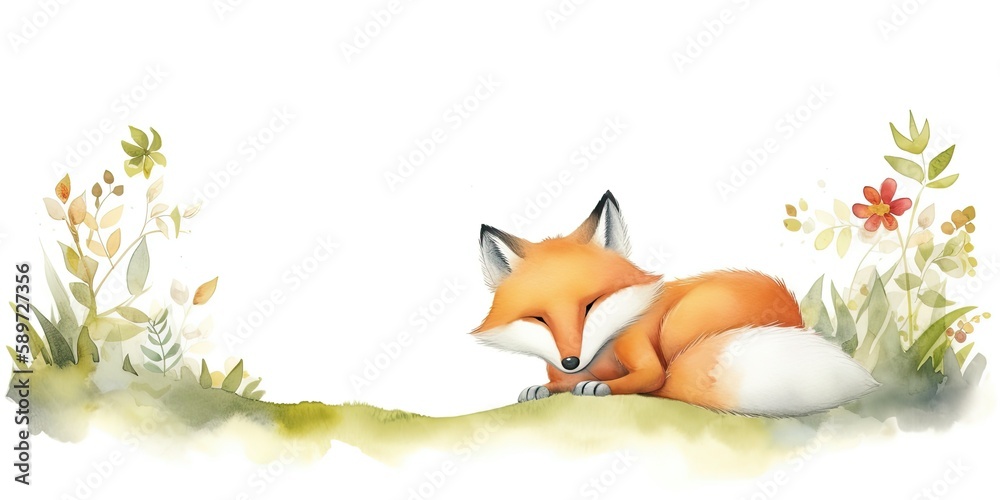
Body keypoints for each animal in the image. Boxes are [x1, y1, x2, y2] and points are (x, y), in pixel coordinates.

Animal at [472, 191, 879, 417]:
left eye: (591, 305)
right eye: (538, 318)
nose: (570, 361)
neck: (601, 358)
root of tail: (795, 320)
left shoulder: (640, 350)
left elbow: (649, 379)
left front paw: (597, 387)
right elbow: (553, 384)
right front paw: (543, 388)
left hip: (676, 326)